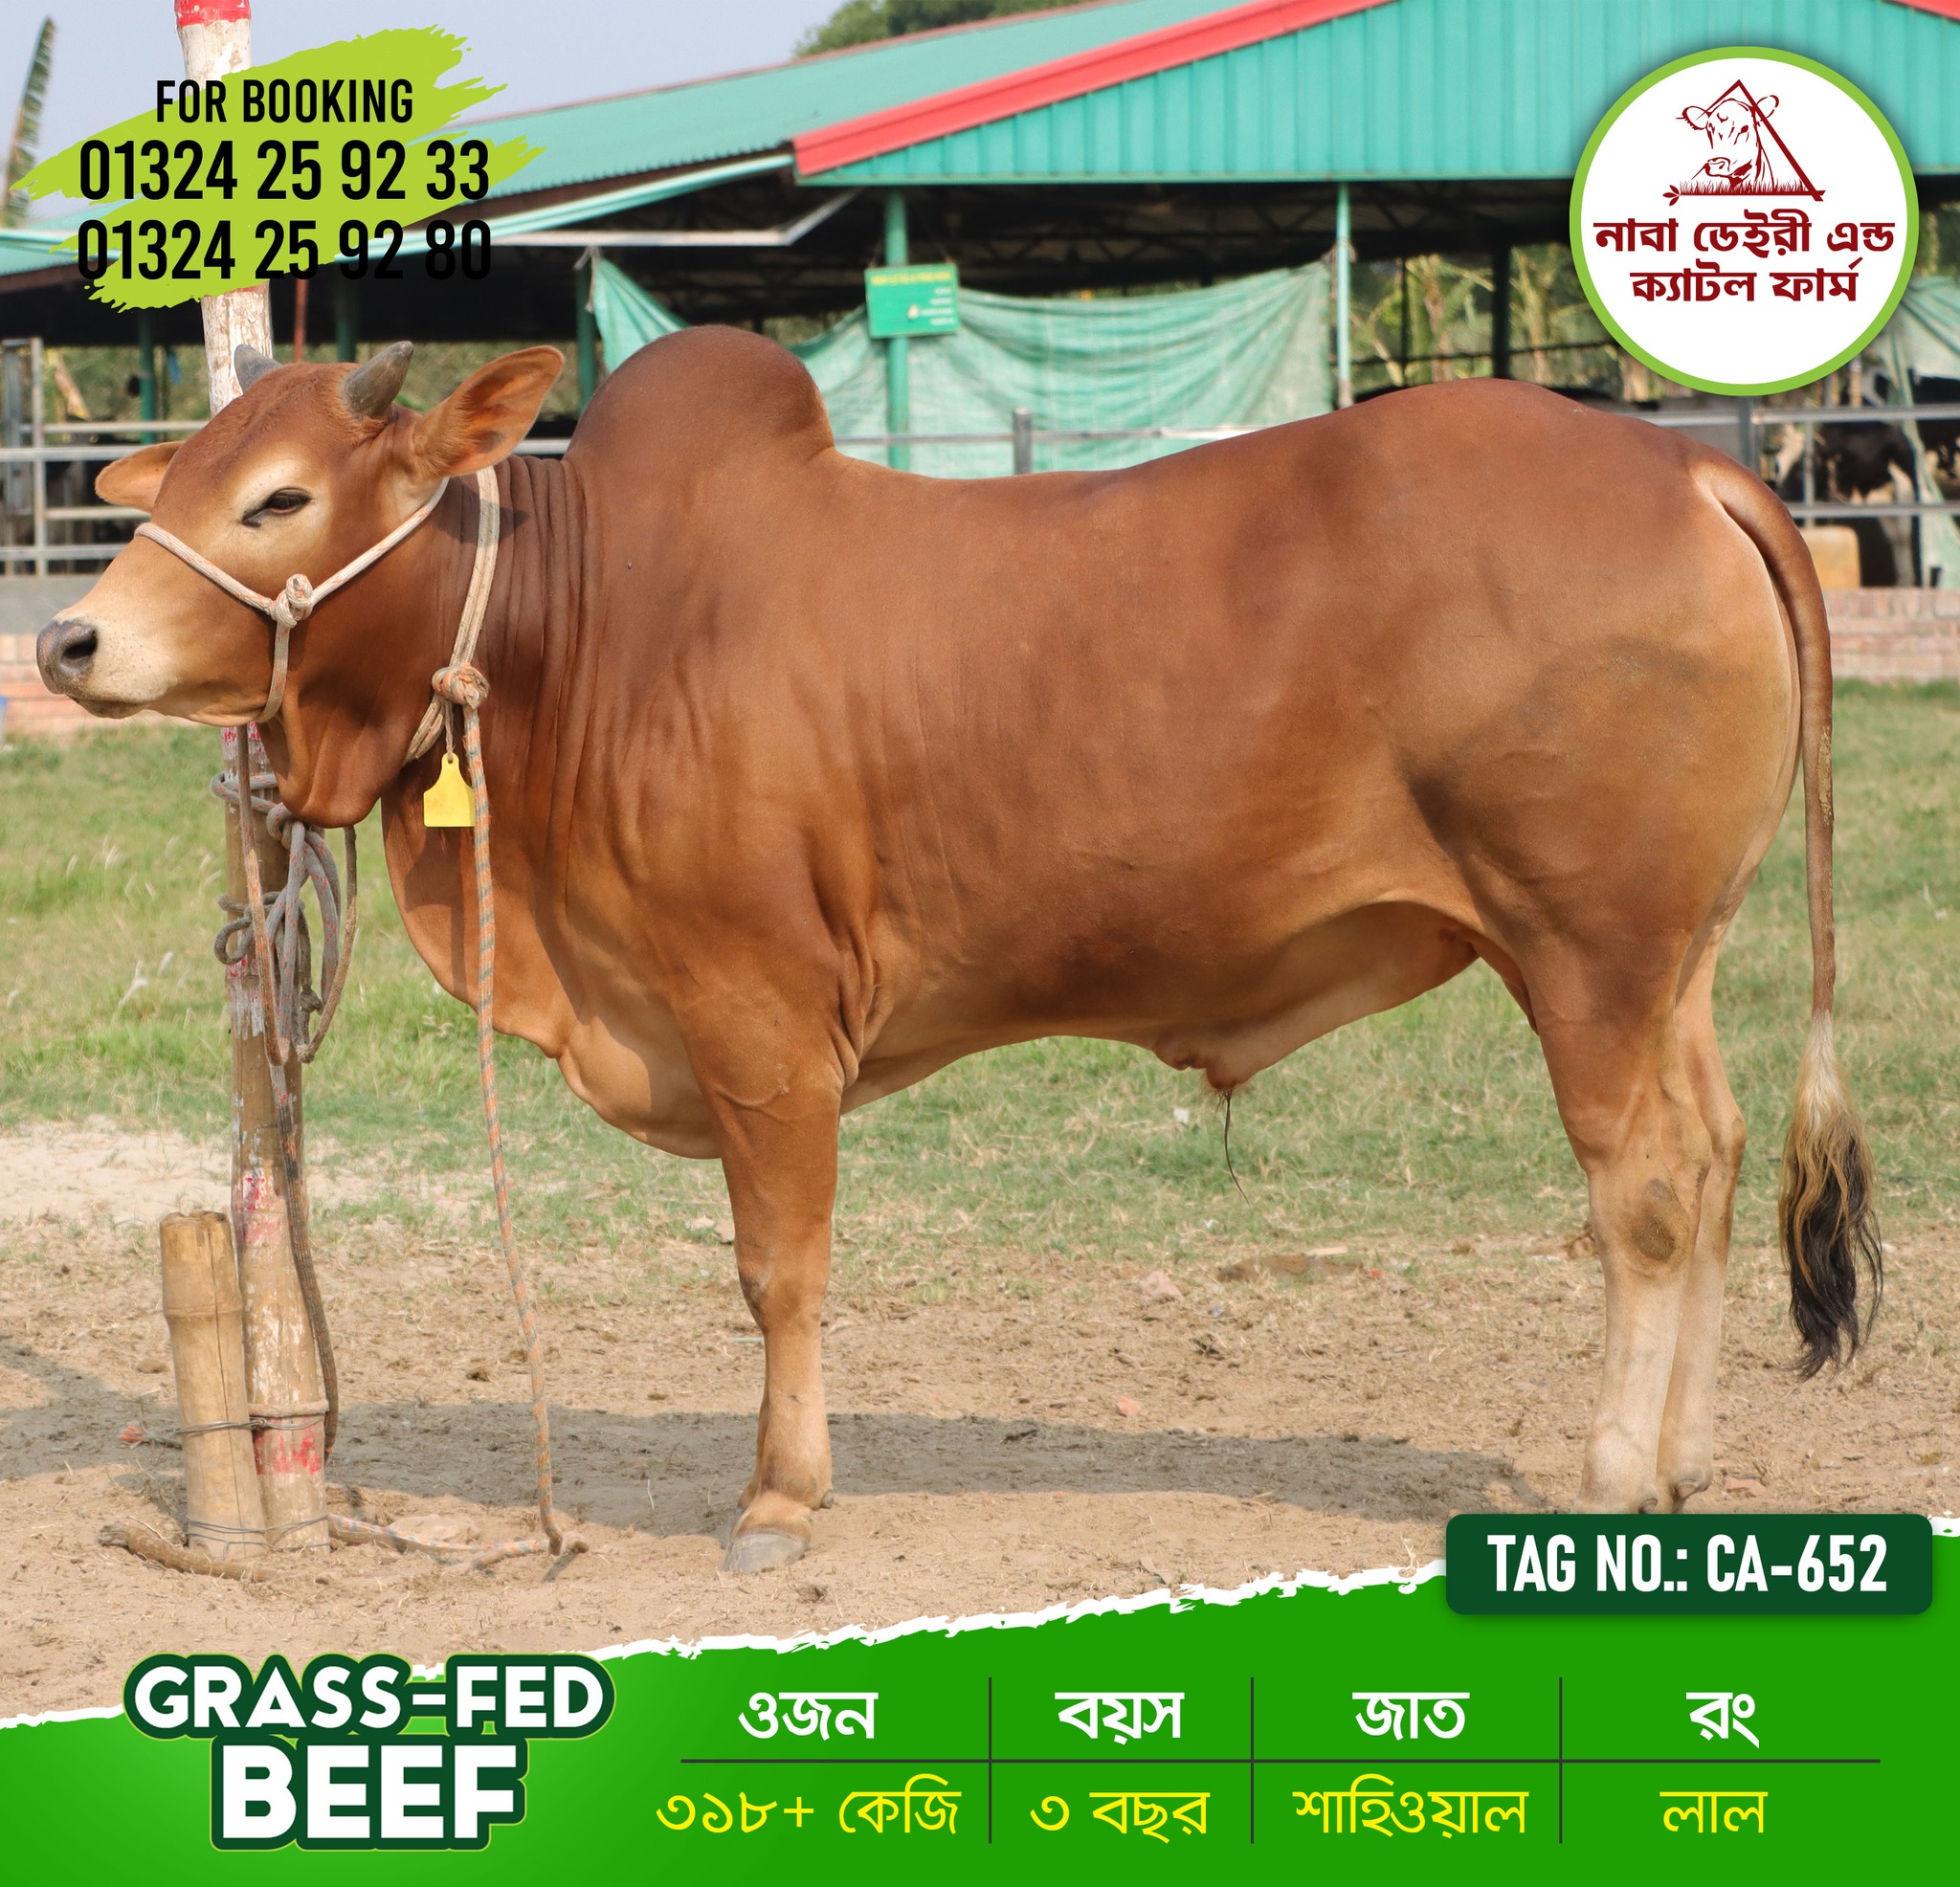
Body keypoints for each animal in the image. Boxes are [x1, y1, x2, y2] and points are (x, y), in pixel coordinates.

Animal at [38, 333, 1879, 1570]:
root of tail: (1683, 468)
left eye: (279, 495)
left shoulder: (758, 1017)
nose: (68, 638)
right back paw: (1687, 1459)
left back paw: (1615, 1470)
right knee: (1718, 1157)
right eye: (181, 479)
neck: (589, 630)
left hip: (1587, 954)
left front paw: (780, 1498)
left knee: (1644, 1193)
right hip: (1676, 959)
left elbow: (777, 1268)